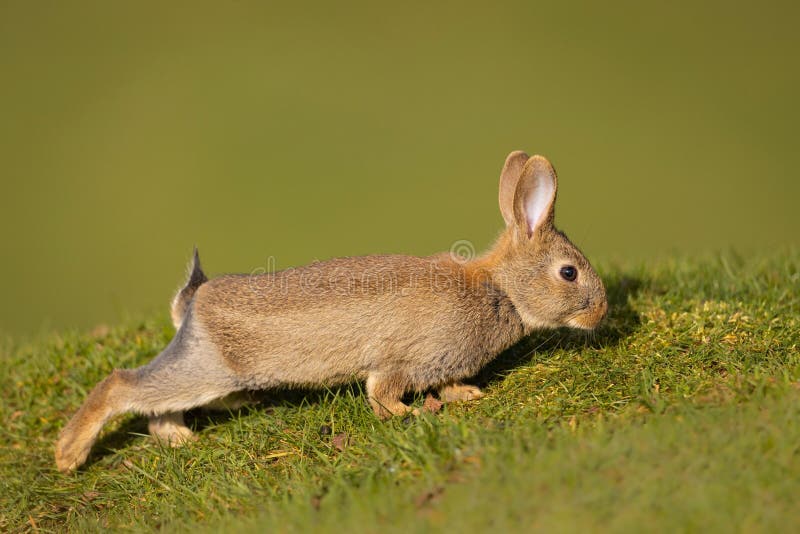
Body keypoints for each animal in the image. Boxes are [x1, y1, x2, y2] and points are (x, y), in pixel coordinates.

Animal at [55, 151, 607, 473]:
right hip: (204, 368)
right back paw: (69, 455)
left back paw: (181, 437)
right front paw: (406, 414)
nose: (601, 313)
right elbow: (381, 391)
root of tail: (193, 302)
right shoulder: (400, 359)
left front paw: (465, 396)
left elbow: (447, 383)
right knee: (122, 386)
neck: (502, 289)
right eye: (568, 274)